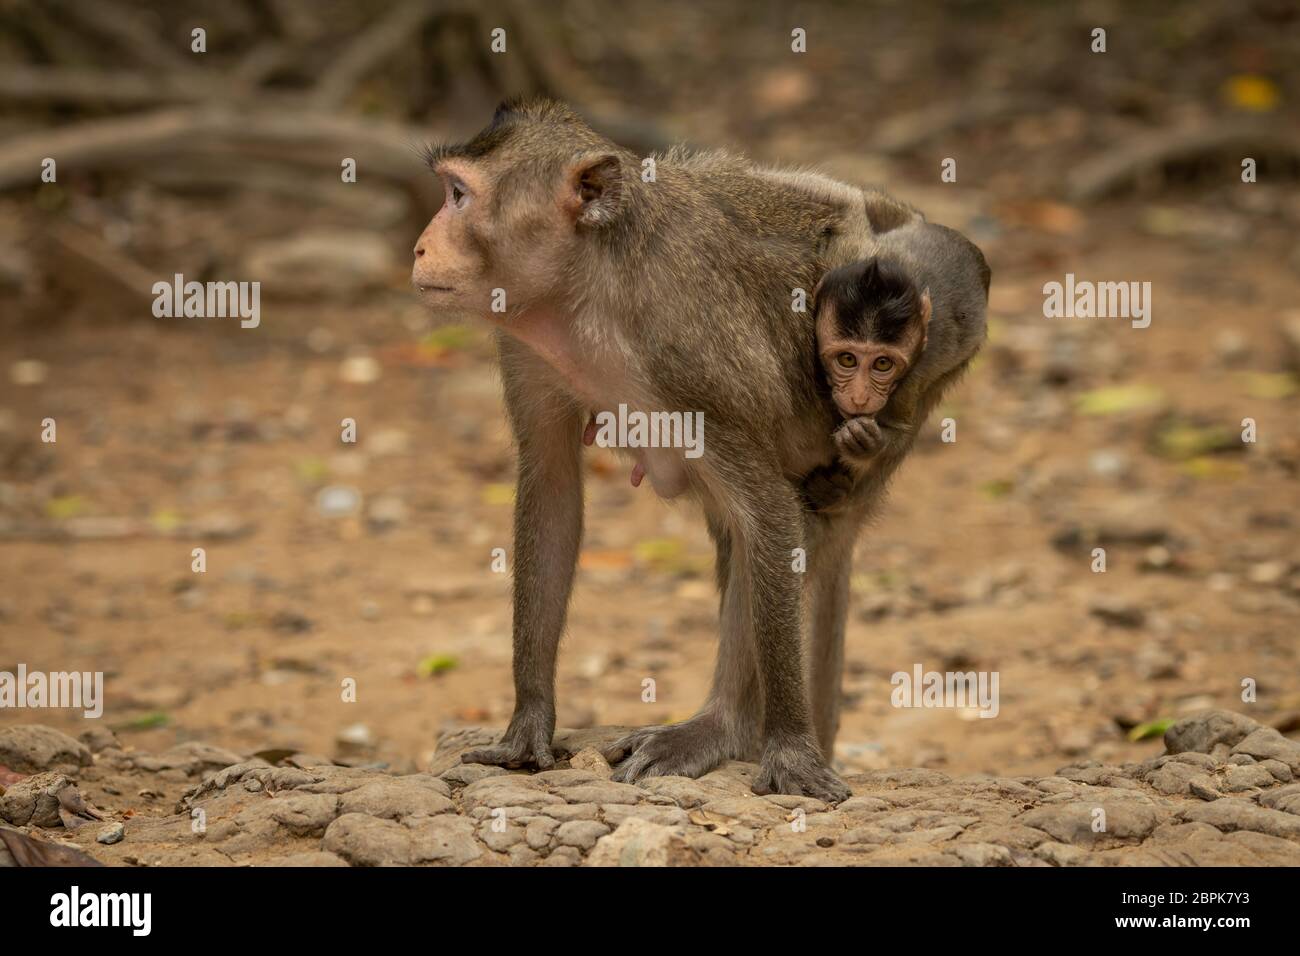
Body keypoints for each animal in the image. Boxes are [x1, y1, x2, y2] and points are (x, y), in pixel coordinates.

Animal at [411, 97, 980, 800]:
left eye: (459, 196)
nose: (420, 245)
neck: (591, 288)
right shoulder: (523, 341)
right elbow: (552, 489)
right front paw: (528, 724)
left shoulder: (691, 356)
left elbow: (769, 513)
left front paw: (790, 752)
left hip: (913, 398)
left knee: (795, 526)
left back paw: (725, 727)